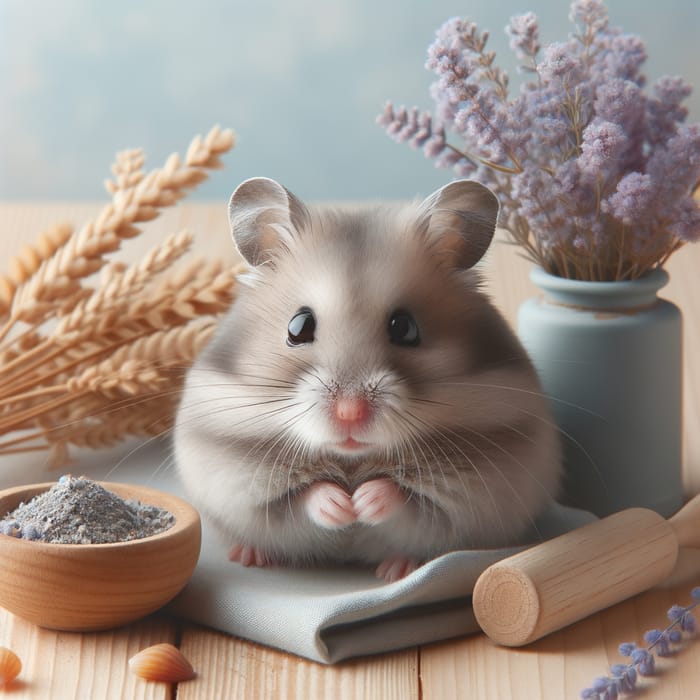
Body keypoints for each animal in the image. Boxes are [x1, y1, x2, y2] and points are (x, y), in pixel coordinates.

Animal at [174, 177, 561, 582]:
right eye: (298, 326)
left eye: (405, 327)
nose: (349, 413)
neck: (352, 461)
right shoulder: (239, 484)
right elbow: (301, 497)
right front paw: (342, 507)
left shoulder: (470, 498)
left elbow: (406, 499)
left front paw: (361, 503)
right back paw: (249, 556)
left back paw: (395, 569)